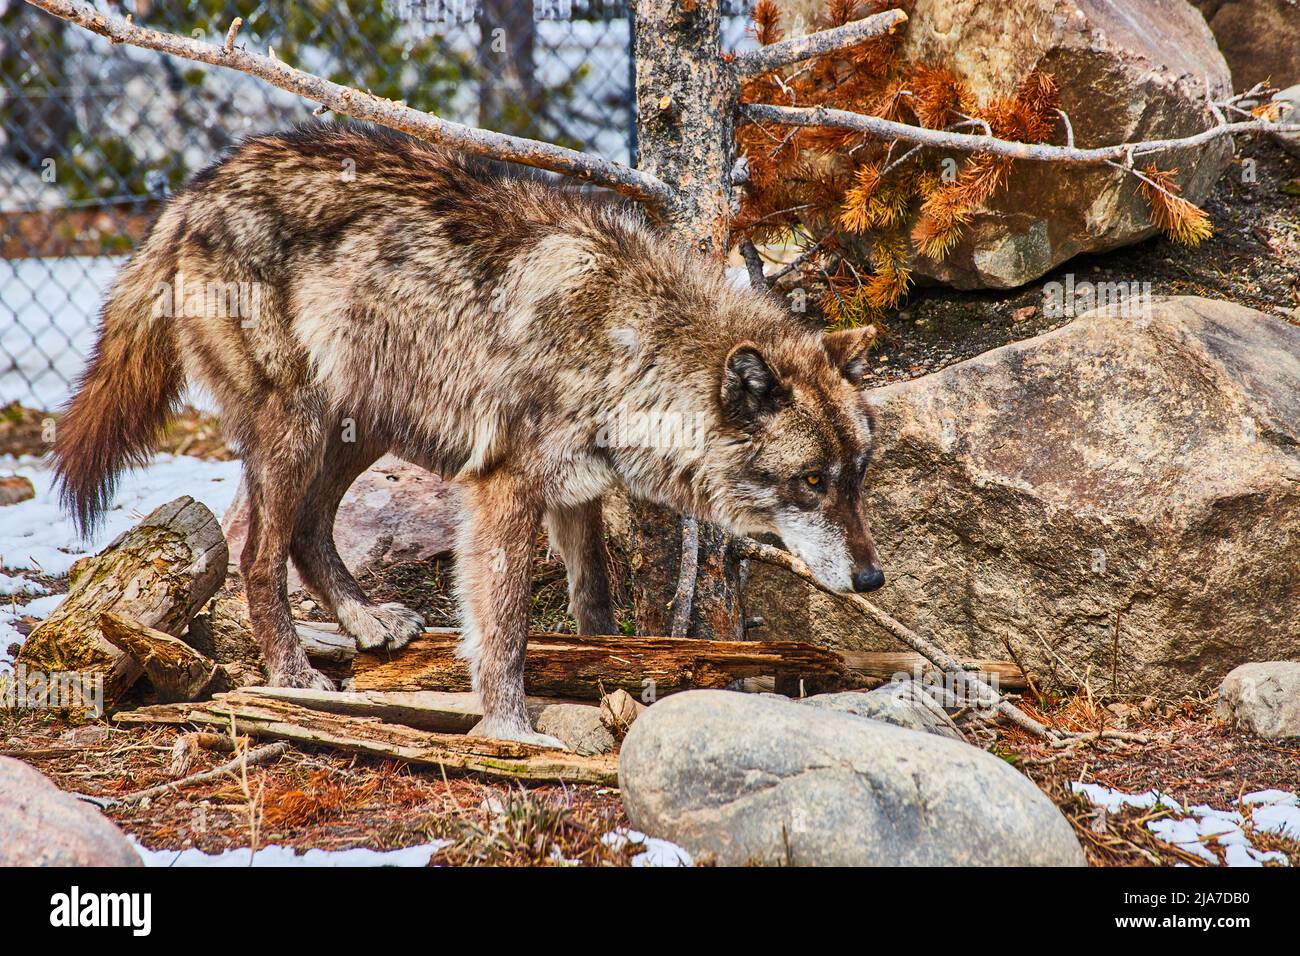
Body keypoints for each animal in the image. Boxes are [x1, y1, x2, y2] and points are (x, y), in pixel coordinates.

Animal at [54, 125, 885, 746]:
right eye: (813, 480)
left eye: (858, 477)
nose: (874, 579)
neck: (627, 345)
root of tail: (196, 188)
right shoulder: (504, 490)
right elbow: (505, 627)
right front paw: (511, 730)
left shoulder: (575, 494)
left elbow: (594, 604)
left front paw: (609, 682)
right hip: (301, 427)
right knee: (260, 556)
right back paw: (293, 679)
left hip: (365, 426)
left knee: (309, 531)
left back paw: (364, 619)